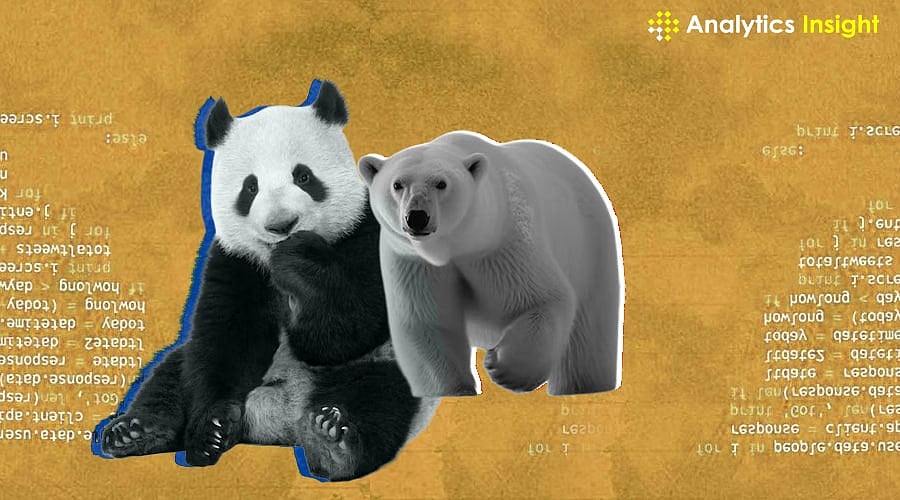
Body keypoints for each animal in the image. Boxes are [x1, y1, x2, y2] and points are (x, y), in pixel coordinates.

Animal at [96, 80, 439, 481]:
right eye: (250, 188)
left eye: (303, 176)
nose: (281, 225)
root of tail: (281, 420)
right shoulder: (235, 261)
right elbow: (226, 339)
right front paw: (212, 430)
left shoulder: (372, 236)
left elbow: (347, 328)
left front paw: (300, 261)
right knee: (170, 375)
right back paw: (136, 431)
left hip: (391, 364)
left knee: (380, 397)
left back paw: (333, 442)